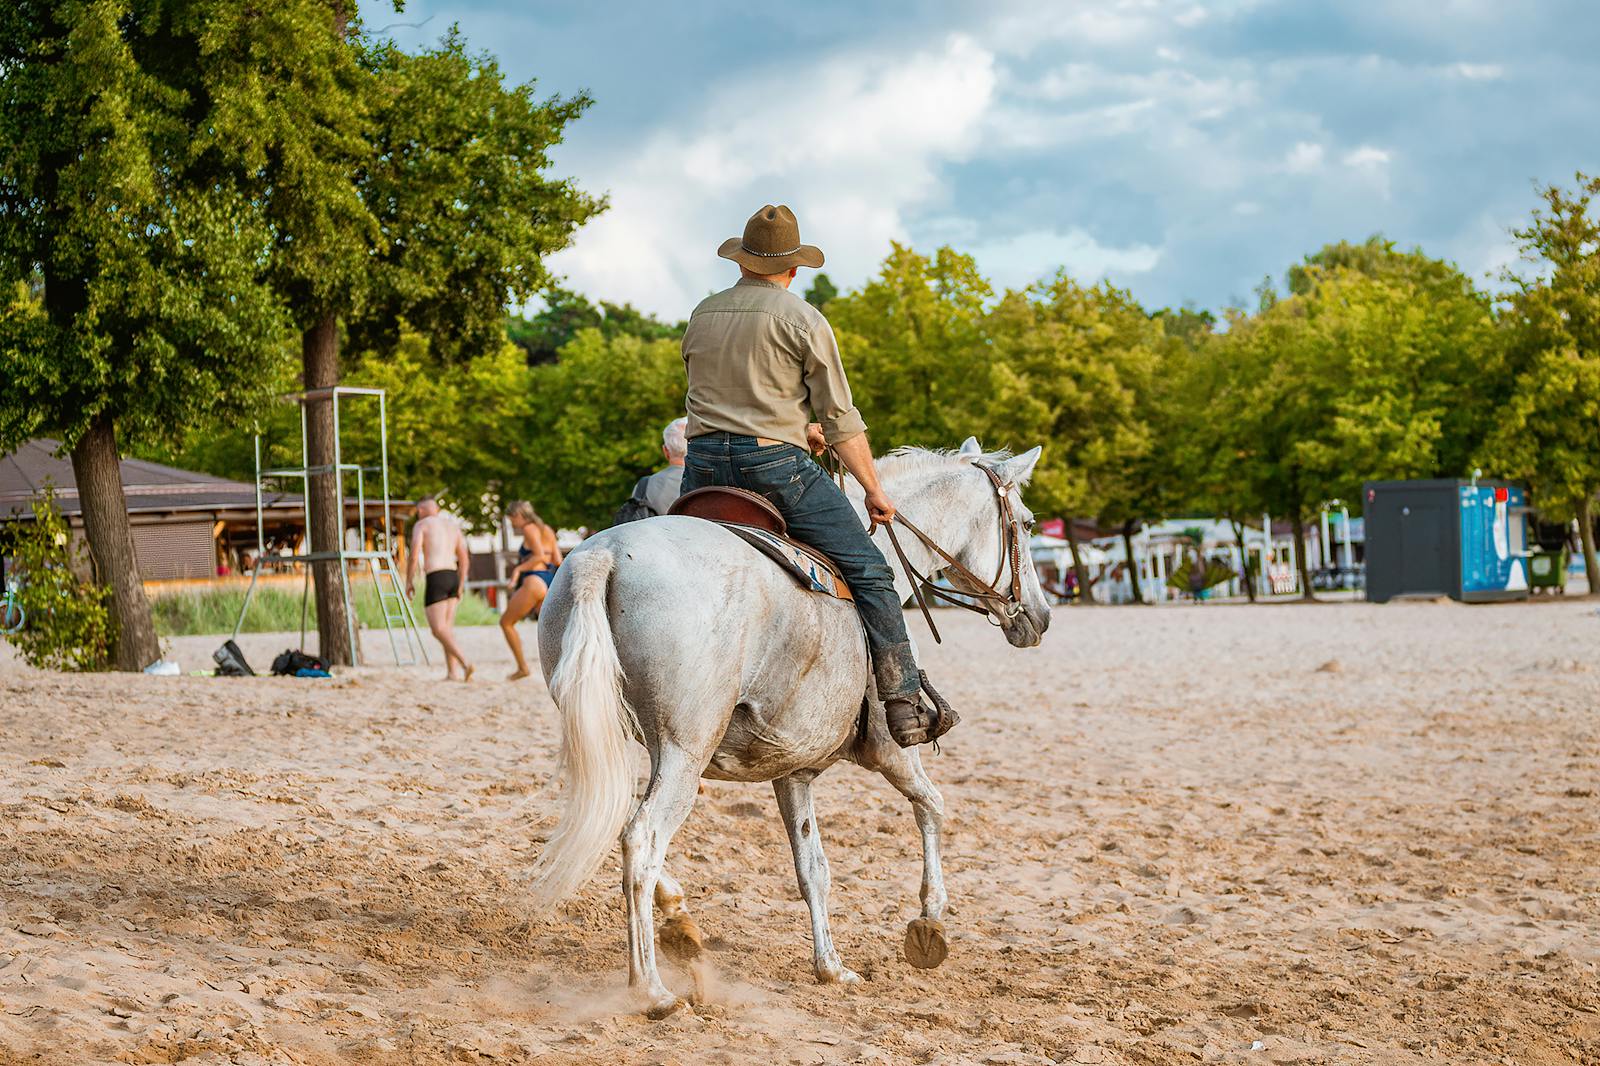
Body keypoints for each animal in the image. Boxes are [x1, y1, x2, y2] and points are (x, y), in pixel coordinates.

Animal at [530, 437, 1052, 1017]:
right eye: (1027, 522)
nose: (1039, 616)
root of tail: (603, 556)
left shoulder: (793, 771)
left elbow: (813, 868)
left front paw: (832, 967)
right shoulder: (891, 752)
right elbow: (932, 806)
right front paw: (930, 924)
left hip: (629, 740)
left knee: (622, 819)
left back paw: (679, 924)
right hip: (684, 753)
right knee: (641, 838)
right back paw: (652, 989)